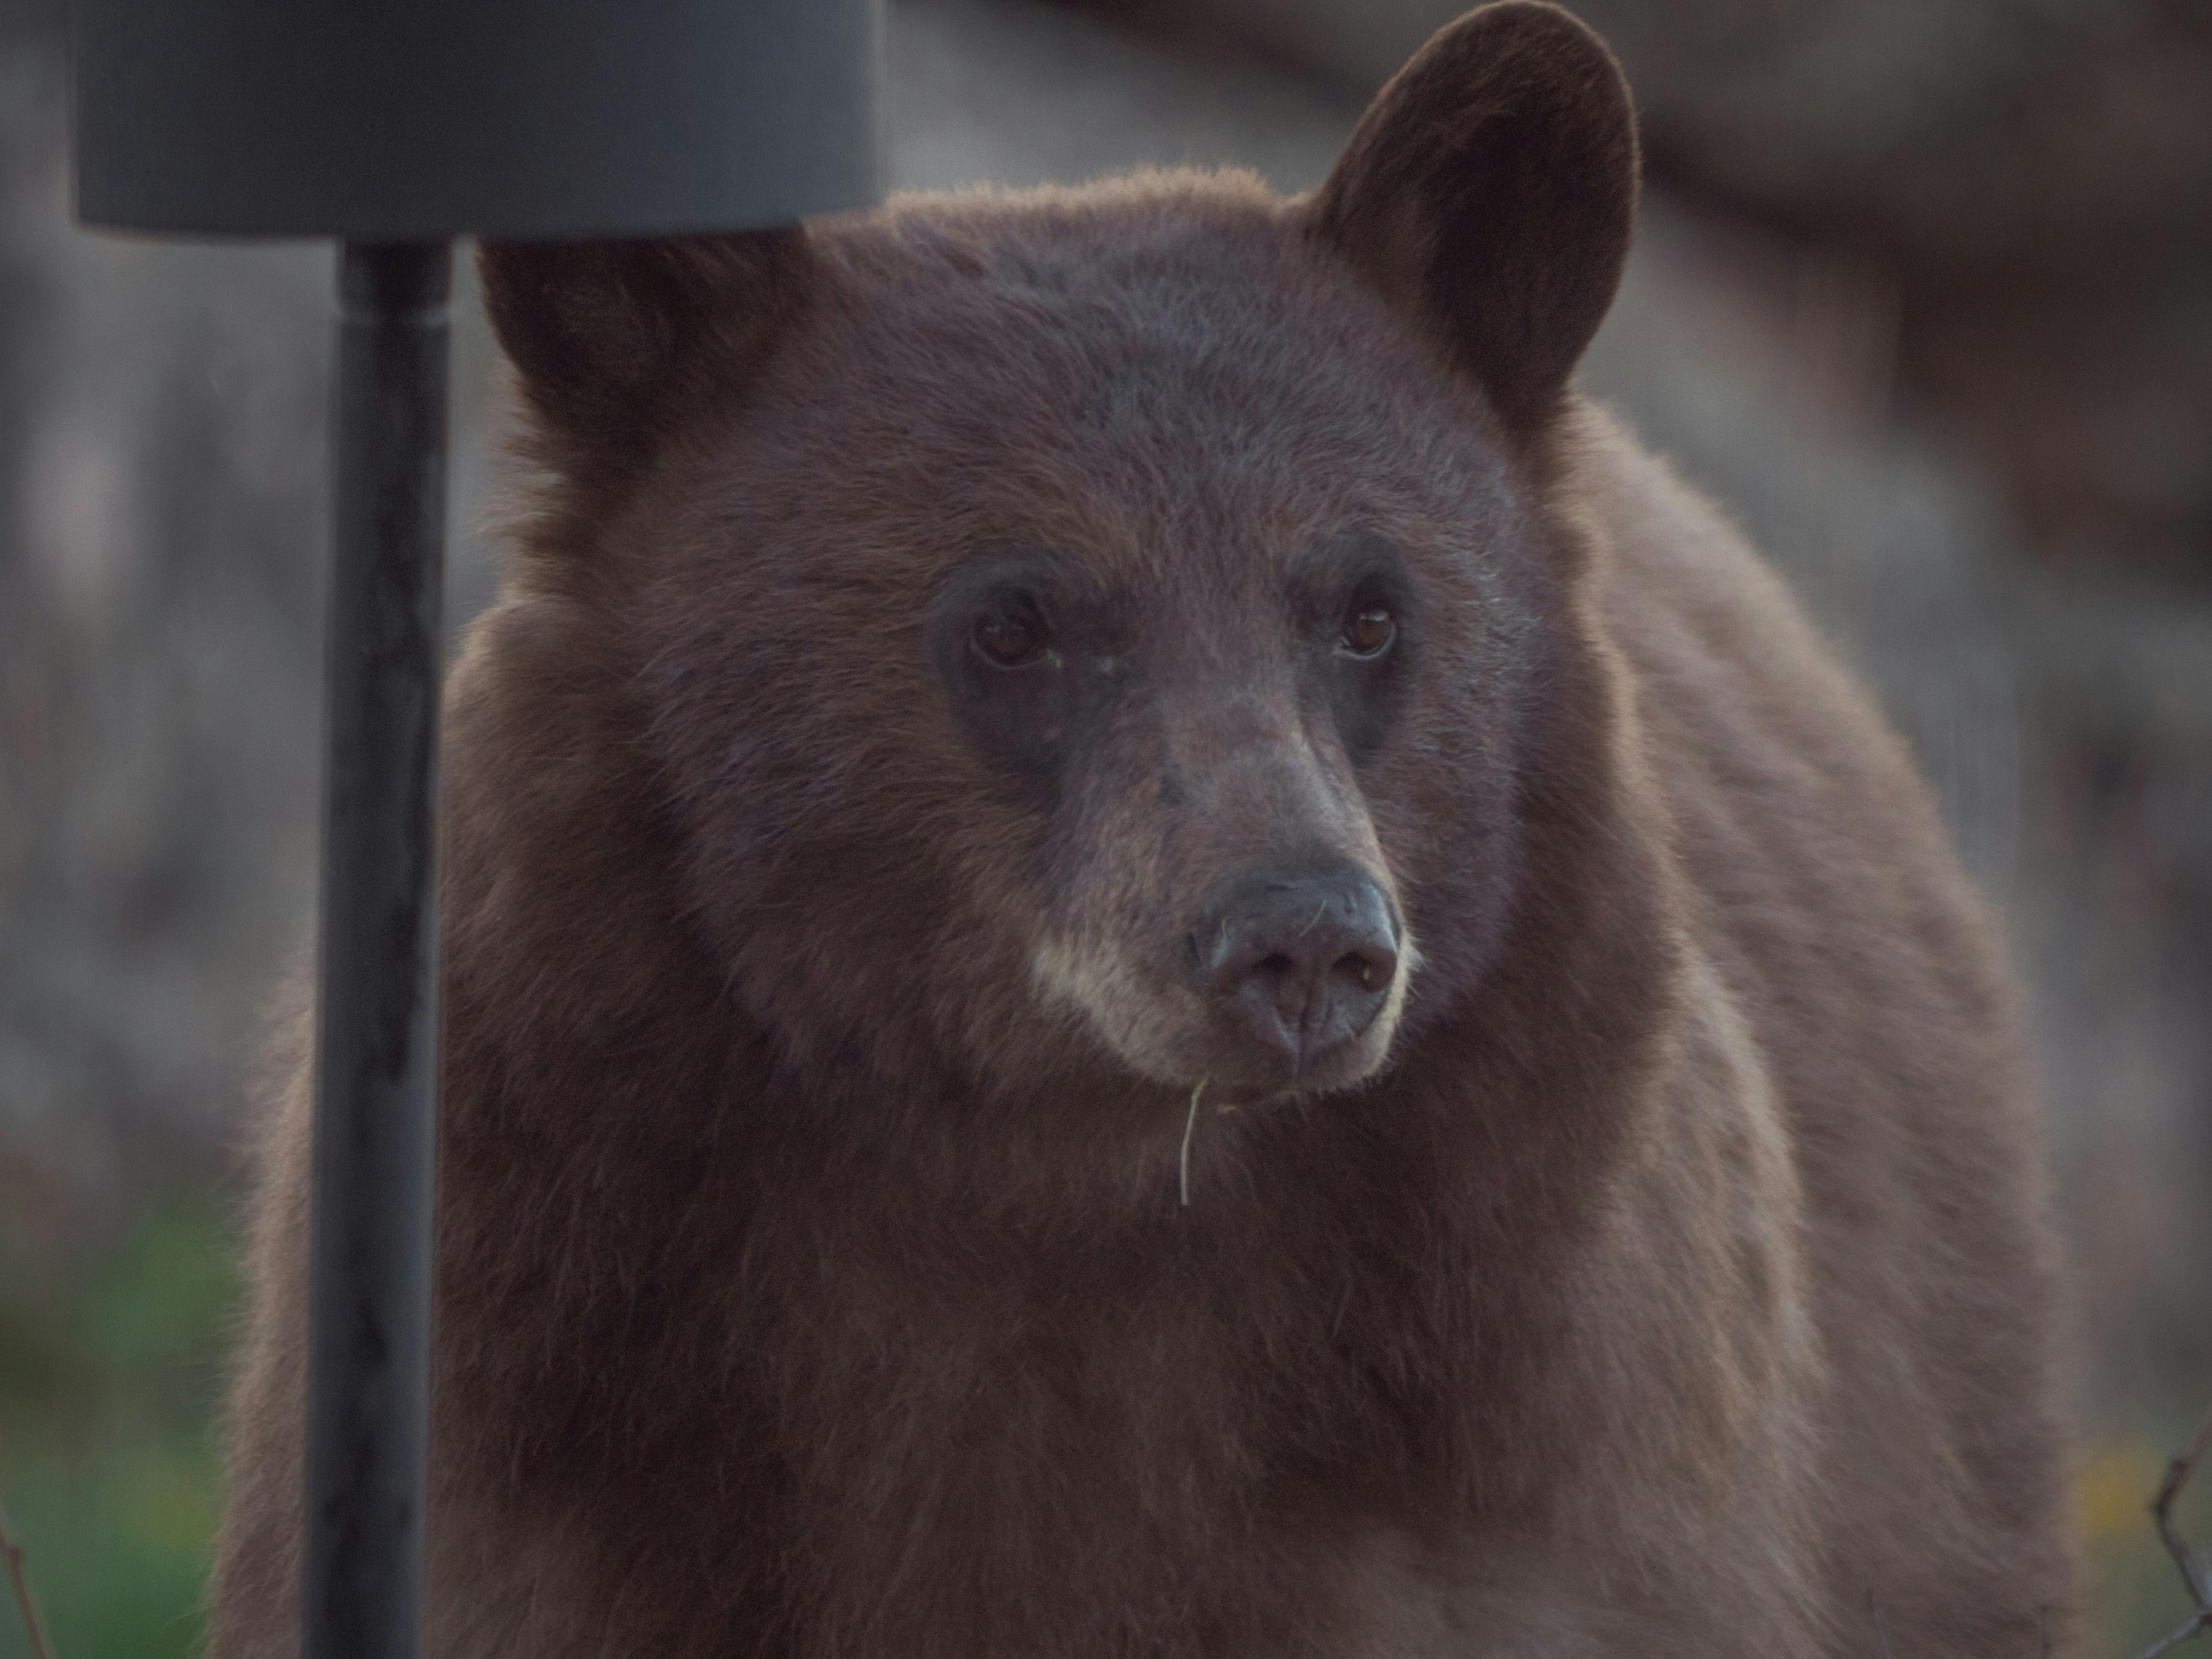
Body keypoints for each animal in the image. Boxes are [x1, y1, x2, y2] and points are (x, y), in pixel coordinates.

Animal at [207, 4, 2074, 1655]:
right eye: (1013, 621)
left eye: (1370, 610)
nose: (1306, 939)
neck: (1064, 1210)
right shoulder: (536, 1419)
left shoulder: (1533, 1474)